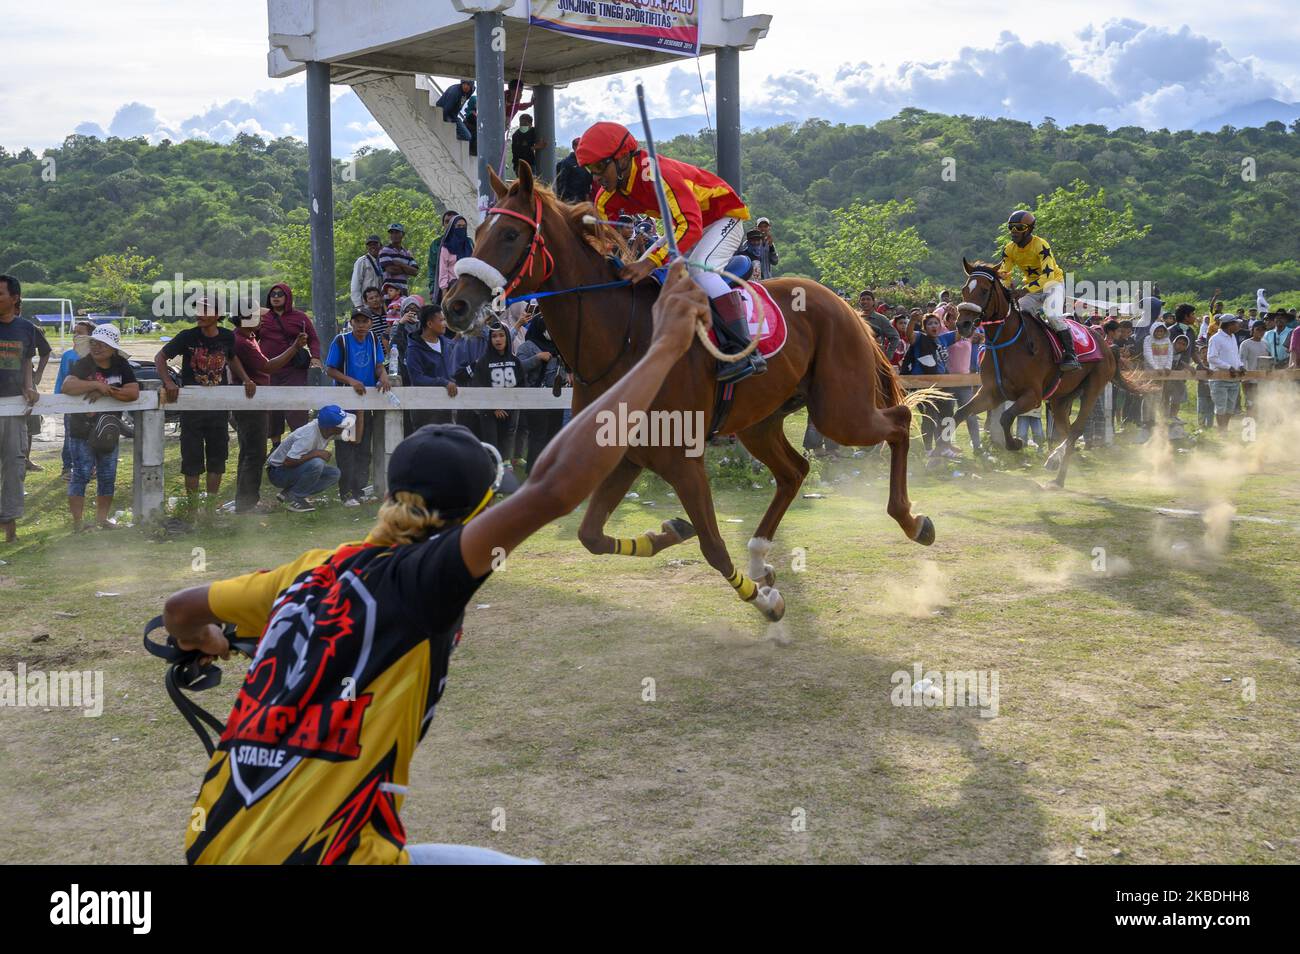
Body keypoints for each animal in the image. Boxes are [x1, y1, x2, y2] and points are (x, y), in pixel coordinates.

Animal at [441, 160, 938, 622]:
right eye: (476, 232)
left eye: (509, 234)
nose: (455, 306)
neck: (626, 339)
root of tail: (845, 305)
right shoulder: (624, 456)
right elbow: (591, 536)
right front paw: (670, 532)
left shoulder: (683, 461)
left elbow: (714, 547)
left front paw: (764, 602)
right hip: (762, 422)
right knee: (795, 471)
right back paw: (760, 558)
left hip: (839, 410)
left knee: (898, 422)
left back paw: (912, 521)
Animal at [953, 258, 1147, 486]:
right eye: (964, 289)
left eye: (984, 290)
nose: (963, 324)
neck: (1007, 342)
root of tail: (1107, 346)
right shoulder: (991, 393)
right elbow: (960, 413)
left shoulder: (1032, 396)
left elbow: (1006, 417)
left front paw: (1016, 443)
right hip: (1060, 399)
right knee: (1067, 430)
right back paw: (1055, 460)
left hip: (1093, 388)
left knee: (1076, 429)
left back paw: (1059, 478)